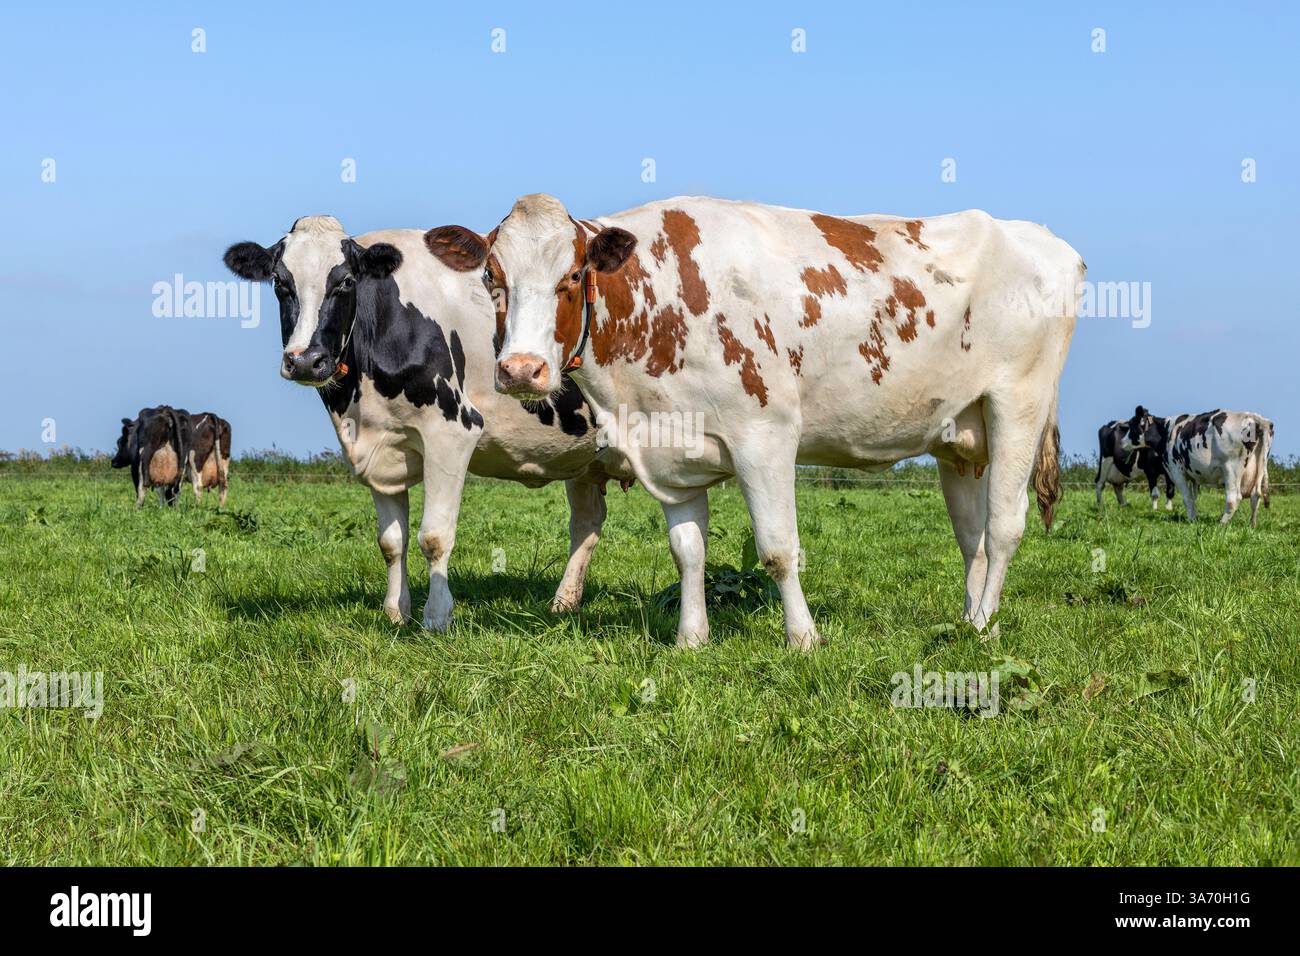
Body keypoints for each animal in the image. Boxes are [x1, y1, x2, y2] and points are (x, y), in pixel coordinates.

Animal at [223, 215, 617, 629]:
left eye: (345, 281)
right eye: (279, 283)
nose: (304, 360)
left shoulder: (451, 431)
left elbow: (434, 536)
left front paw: (437, 617)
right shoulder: (378, 444)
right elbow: (391, 542)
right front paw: (396, 613)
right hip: (585, 460)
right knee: (586, 523)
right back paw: (564, 604)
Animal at [445, 194, 1083, 649]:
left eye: (574, 276)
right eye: (492, 279)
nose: (520, 370)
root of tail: (1047, 242)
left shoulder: (766, 435)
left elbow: (778, 548)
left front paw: (803, 638)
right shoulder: (669, 448)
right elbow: (687, 549)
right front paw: (691, 638)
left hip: (1017, 404)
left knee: (1004, 528)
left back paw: (982, 629)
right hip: (961, 434)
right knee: (972, 538)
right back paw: (975, 621)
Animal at [1141, 409, 1273, 526]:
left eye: (1136, 423)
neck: (1167, 431)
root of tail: (1254, 417)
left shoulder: (1177, 472)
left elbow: (1187, 498)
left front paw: (1192, 520)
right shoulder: (1193, 477)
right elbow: (1193, 497)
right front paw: (1194, 517)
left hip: (1231, 469)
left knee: (1234, 498)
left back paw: (1221, 523)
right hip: (1259, 468)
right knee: (1255, 496)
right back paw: (1252, 524)